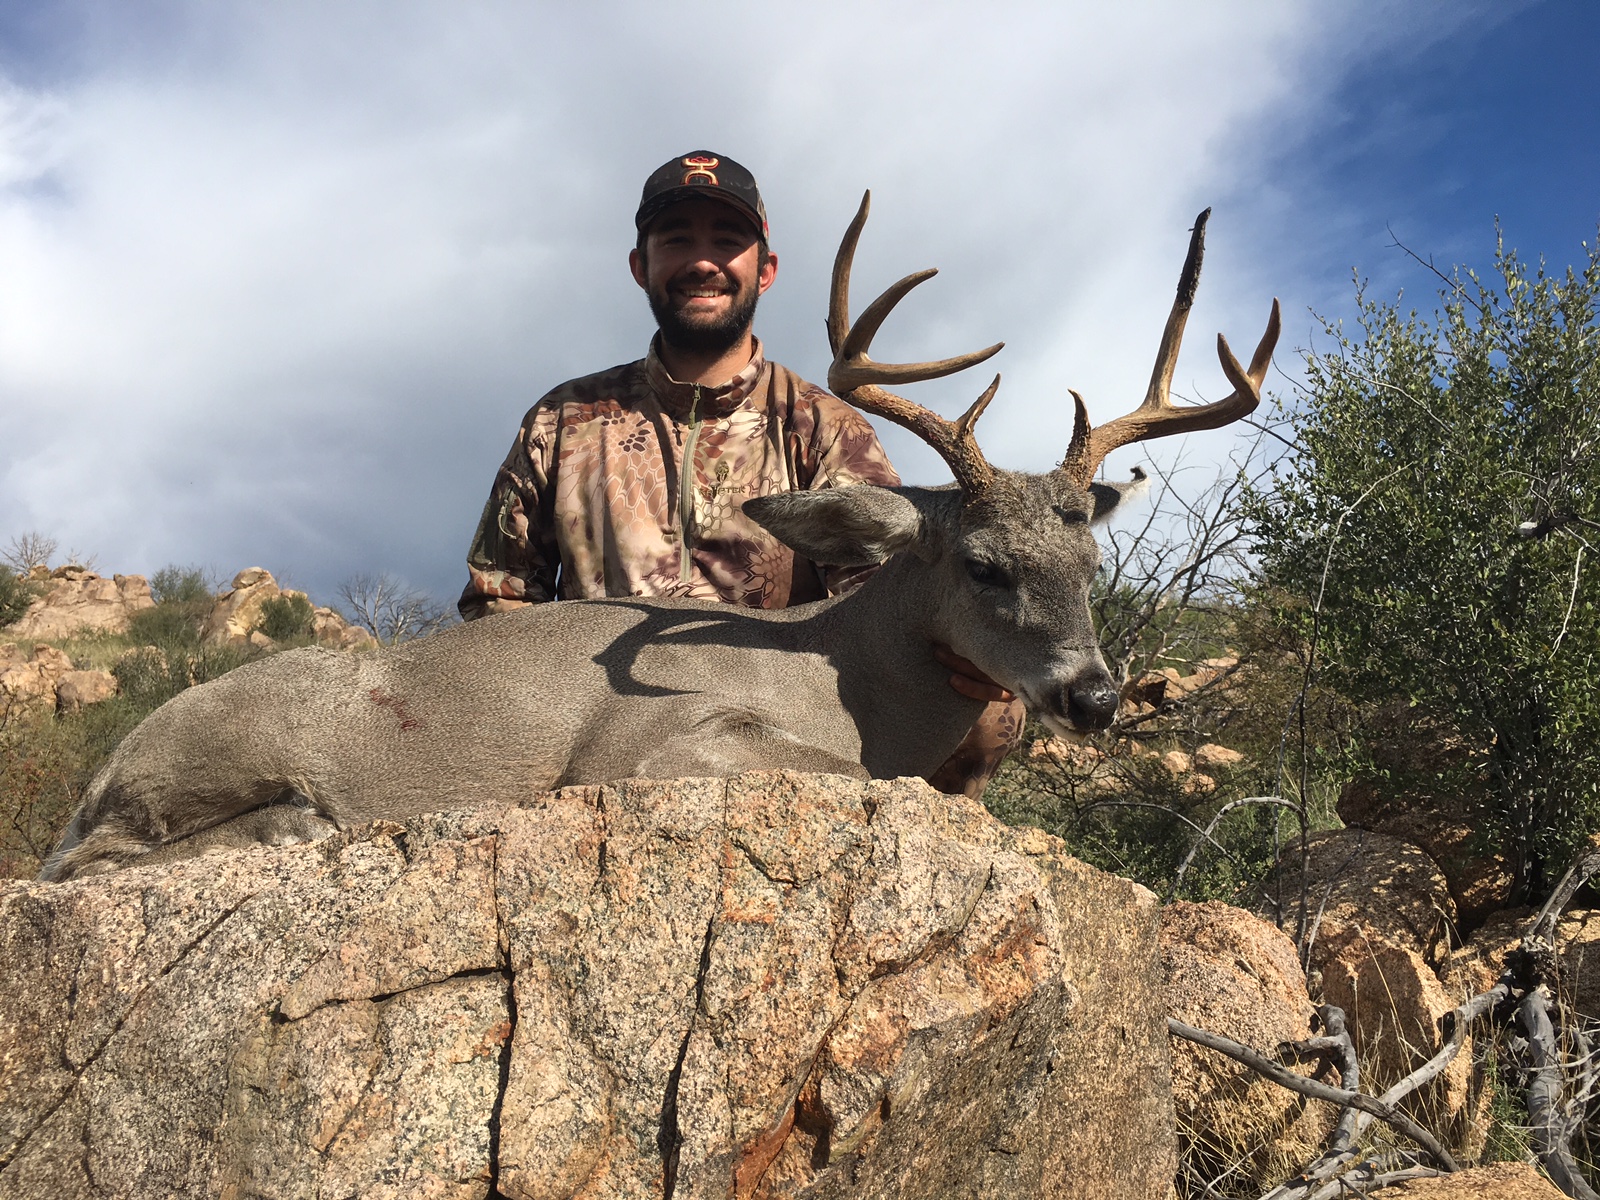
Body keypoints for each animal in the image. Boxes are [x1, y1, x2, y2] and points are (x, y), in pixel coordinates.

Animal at [39, 196, 1279, 881]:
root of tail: (103, 765)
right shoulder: (649, 747)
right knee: (91, 864)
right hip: (211, 753)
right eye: (982, 565)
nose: (1095, 696)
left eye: (1090, 564)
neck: (847, 674)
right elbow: (864, 781)